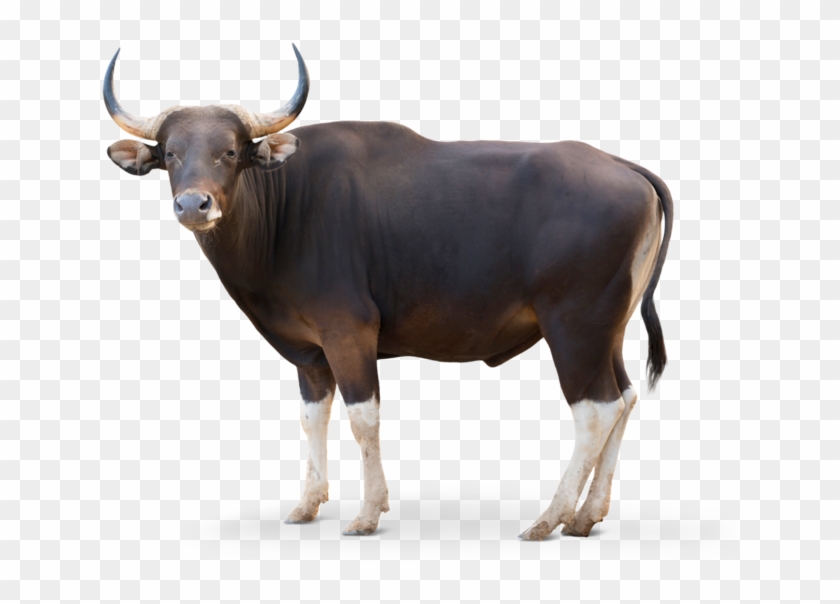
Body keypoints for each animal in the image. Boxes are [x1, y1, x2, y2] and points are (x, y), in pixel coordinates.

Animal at [103, 45, 672, 540]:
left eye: (229, 151)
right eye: (171, 153)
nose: (193, 205)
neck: (284, 209)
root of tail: (626, 168)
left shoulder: (349, 331)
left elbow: (363, 418)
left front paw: (367, 513)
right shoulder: (309, 353)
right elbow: (313, 418)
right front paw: (307, 505)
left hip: (574, 327)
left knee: (595, 410)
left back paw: (548, 519)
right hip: (608, 330)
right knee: (624, 398)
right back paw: (585, 516)